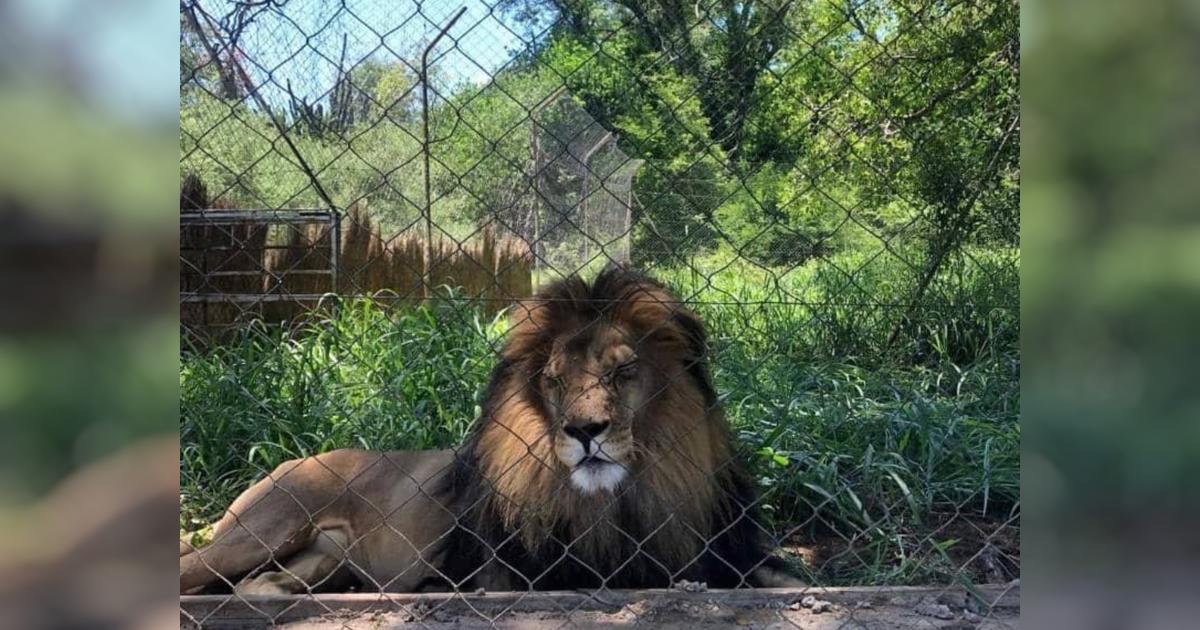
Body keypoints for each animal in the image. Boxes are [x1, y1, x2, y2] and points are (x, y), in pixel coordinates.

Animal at [180, 267, 800, 595]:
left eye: (623, 371)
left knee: (255, 587)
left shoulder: (727, 557)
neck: (619, 502)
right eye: (553, 380)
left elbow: (785, 578)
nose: (585, 431)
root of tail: (295, 459)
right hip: (265, 529)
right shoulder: (513, 576)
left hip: (320, 557)